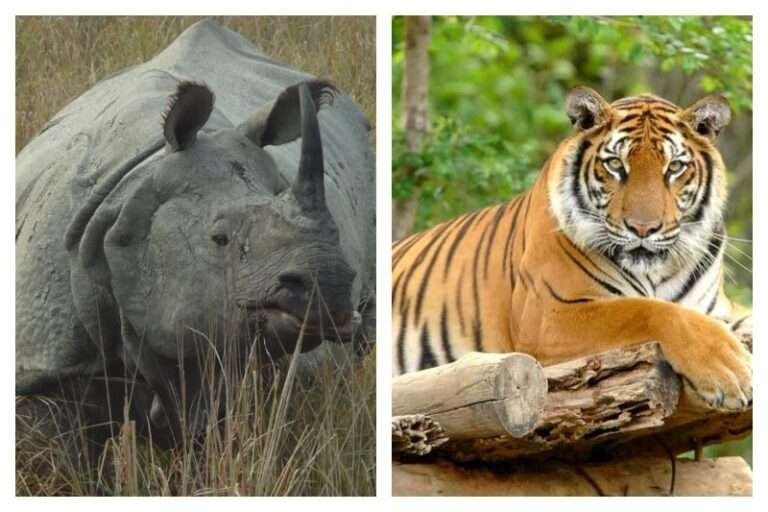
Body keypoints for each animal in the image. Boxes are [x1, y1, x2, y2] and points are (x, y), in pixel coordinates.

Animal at [392, 87, 751, 411]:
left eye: (675, 167)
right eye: (615, 165)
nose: (643, 229)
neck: (656, 271)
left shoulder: (718, 307)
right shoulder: (549, 314)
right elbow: (647, 310)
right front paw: (727, 372)